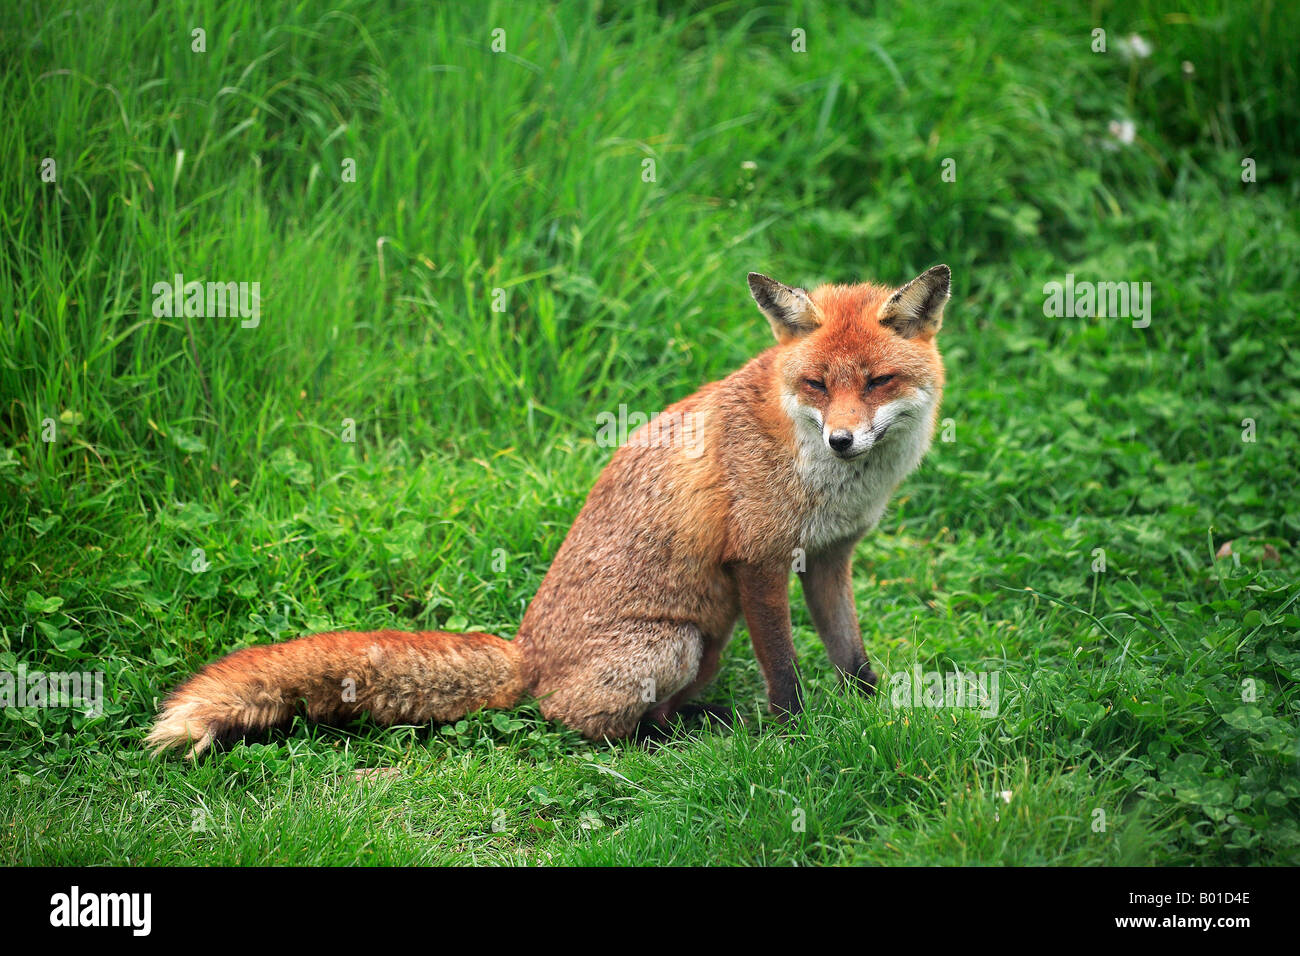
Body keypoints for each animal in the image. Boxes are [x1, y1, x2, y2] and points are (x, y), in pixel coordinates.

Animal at [147, 264, 950, 757]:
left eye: (877, 381)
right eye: (816, 384)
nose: (843, 440)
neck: (827, 474)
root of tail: (526, 653)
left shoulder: (829, 556)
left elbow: (852, 657)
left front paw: (872, 715)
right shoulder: (757, 559)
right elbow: (785, 671)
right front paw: (795, 736)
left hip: (708, 645)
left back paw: (698, 720)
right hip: (678, 642)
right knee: (573, 720)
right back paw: (659, 741)